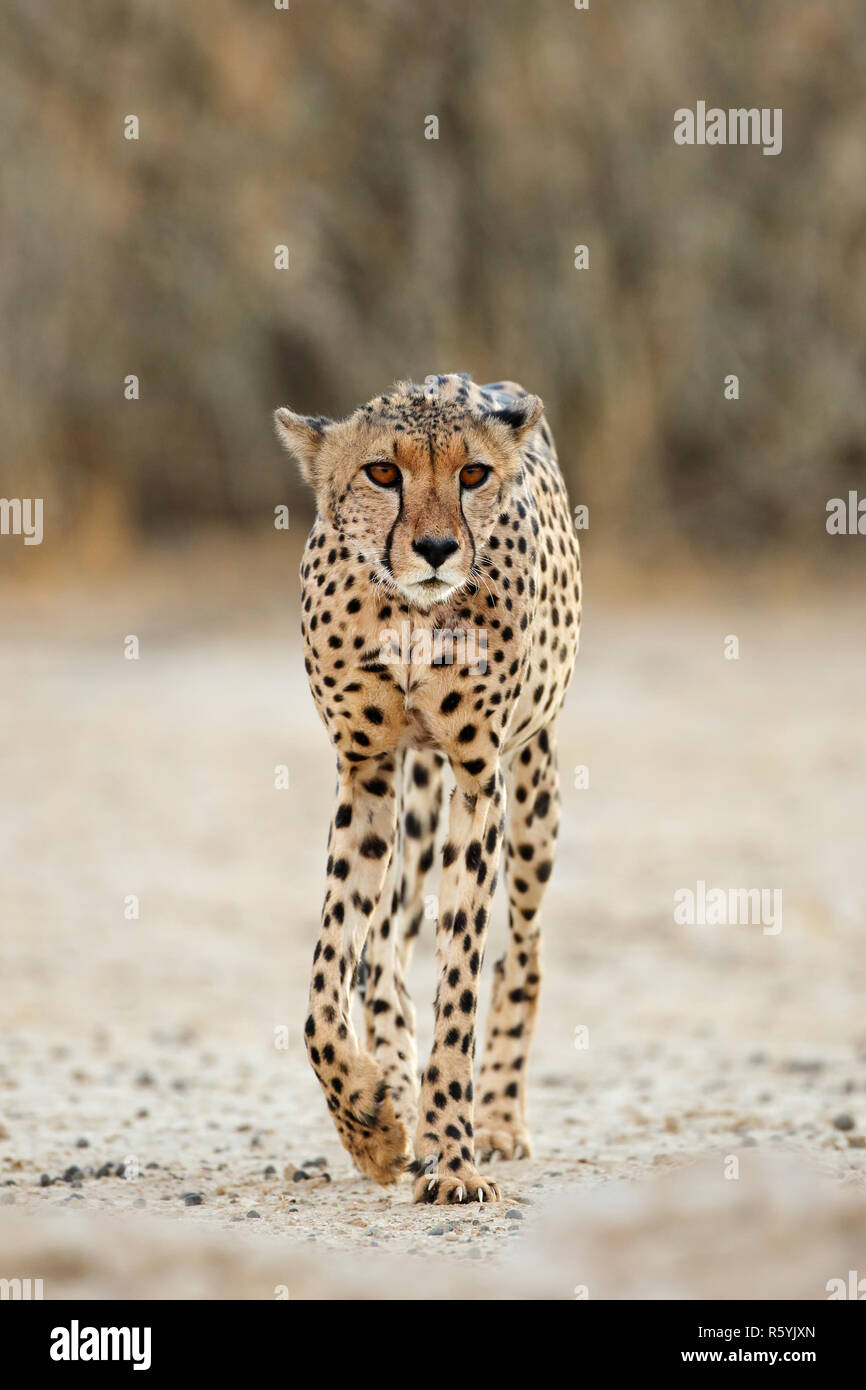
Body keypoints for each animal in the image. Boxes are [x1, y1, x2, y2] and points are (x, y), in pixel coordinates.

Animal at [274, 372, 581, 1204]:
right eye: (383, 472)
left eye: (473, 474)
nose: (438, 549)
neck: (409, 610)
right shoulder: (366, 771)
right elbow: (324, 984)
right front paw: (373, 1125)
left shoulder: (480, 779)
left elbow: (463, 982)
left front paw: (455, 1159)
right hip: (413, 803)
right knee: (381, 951)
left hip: (532, 794)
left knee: (524, 953)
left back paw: (499, 1121)